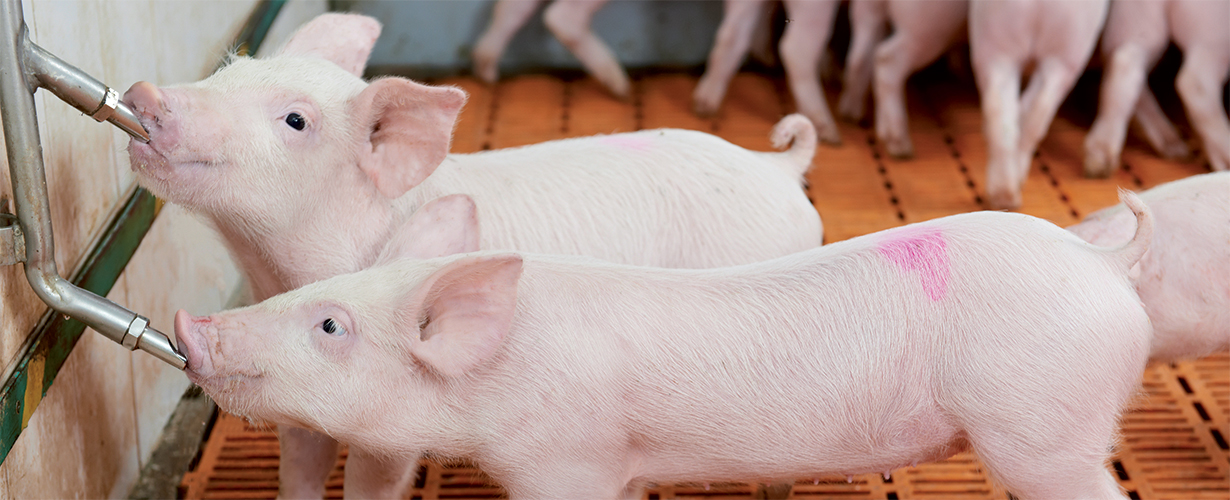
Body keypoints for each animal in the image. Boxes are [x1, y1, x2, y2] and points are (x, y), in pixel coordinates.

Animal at [125, 12, 823, 499]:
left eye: (296, 121)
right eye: (226, 71)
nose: (147, 95)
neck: (273, 264)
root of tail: (781, 168)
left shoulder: (397, 412)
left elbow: (373, 482)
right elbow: (298, 468)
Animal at [838, 0, 969, 158]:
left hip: (867, 13)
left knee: (858, 58)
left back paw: (851, 114)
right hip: (926, 28)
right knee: (888, 60)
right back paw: (901, 148)